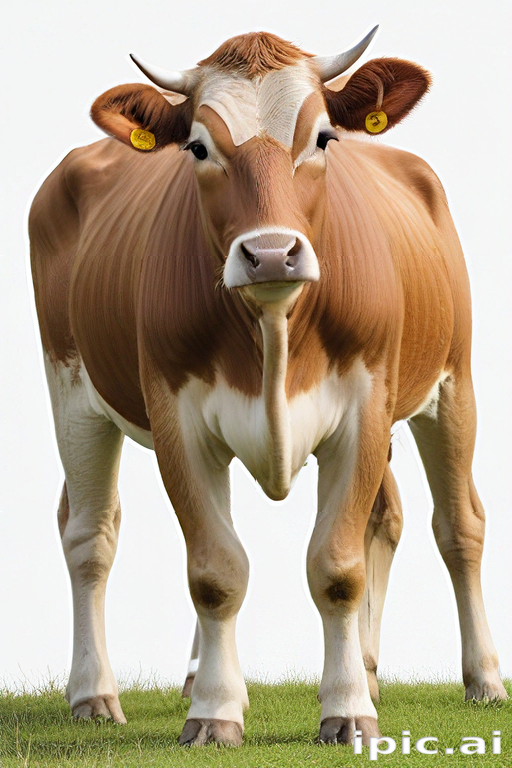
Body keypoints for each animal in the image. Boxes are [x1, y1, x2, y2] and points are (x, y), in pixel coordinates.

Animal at [29, 28, 507, 746]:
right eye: (198, 146)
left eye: (323, 139)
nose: (273, 253)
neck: (275, 328)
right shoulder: (175, 416)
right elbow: (215, 569)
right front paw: (214, 711)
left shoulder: (367, 407)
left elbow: (338, 565)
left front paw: (348, 709)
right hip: (71, 389)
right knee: (89, 534)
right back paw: (96, 694)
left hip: (453, 383)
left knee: (454, 525)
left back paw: (476, 679)